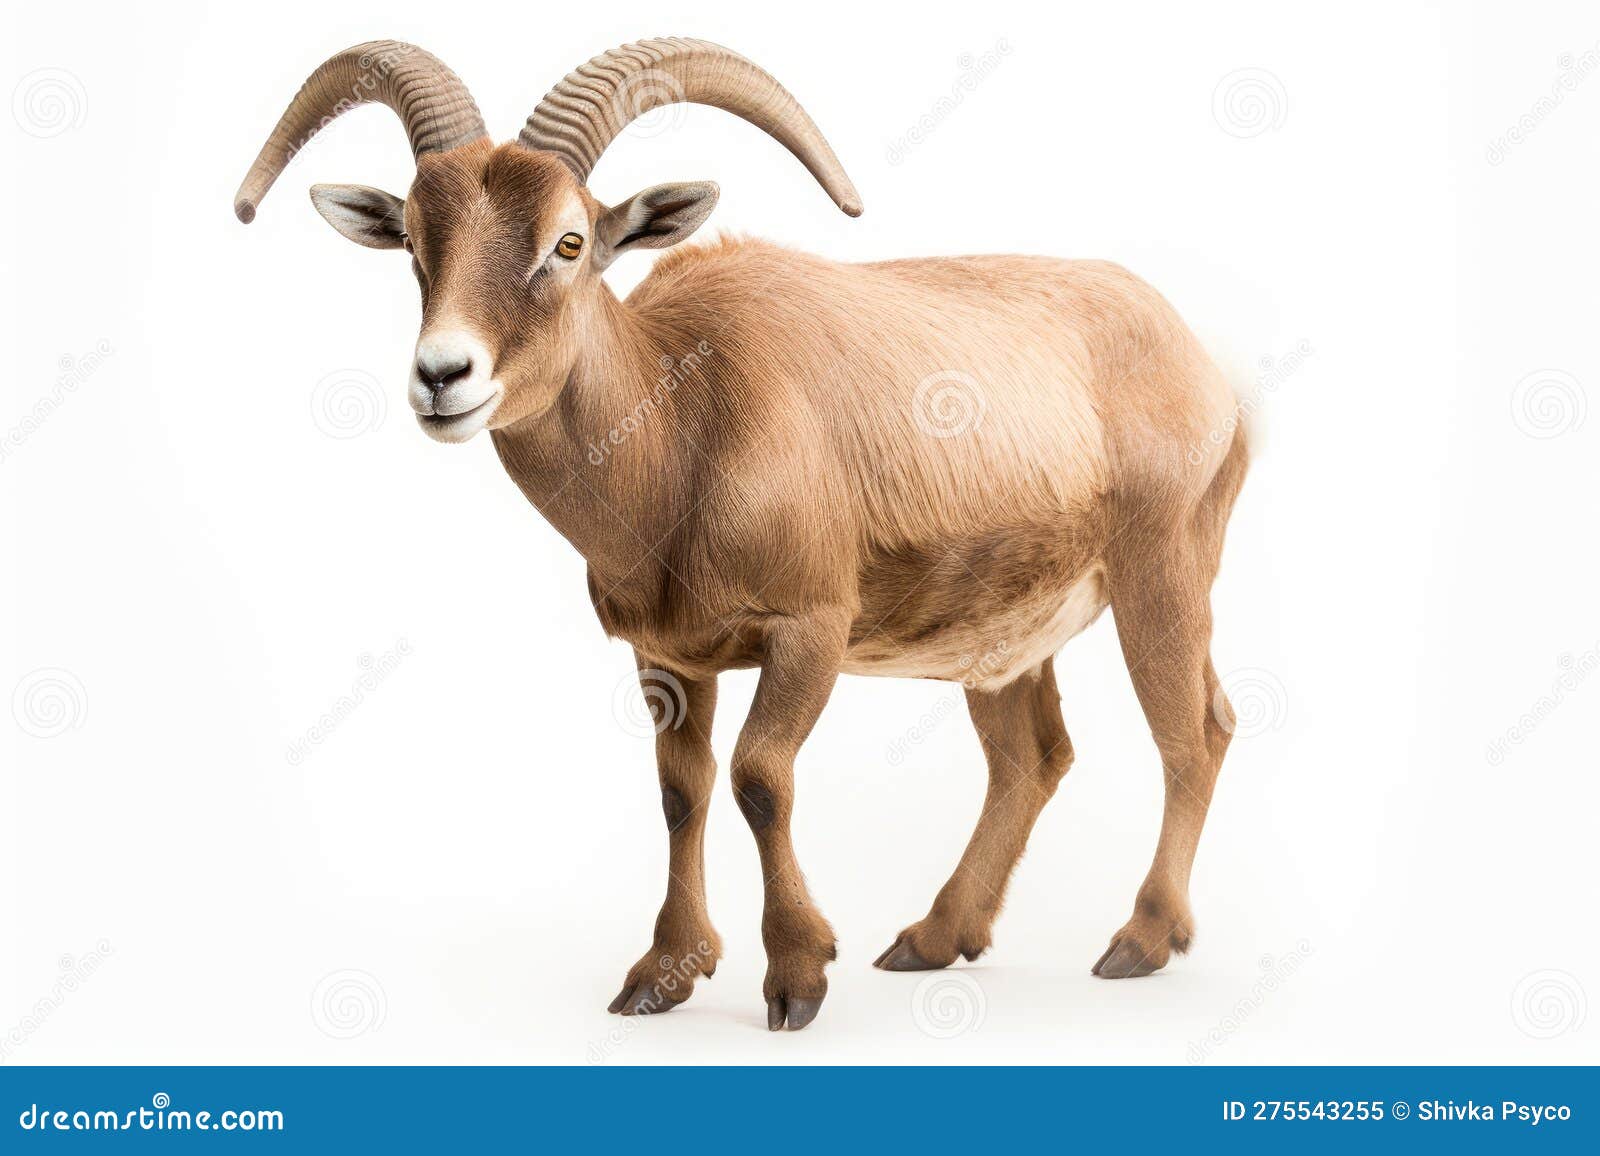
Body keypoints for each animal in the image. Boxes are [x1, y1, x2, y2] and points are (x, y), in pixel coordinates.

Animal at [235, 37, 1249, 1031]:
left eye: (569, 241)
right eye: (413, 238)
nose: (445, 376)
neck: (686, 426)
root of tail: (1212, 376)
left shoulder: (809, 630)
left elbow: (760, 777)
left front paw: (797, 977)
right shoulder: (668, 659)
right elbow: (680, 789)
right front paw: (662, 975)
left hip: (1162, 575)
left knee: (1196, 733)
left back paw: (1140, 941)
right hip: (998, 634)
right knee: (1030, 758)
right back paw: (932, 937)